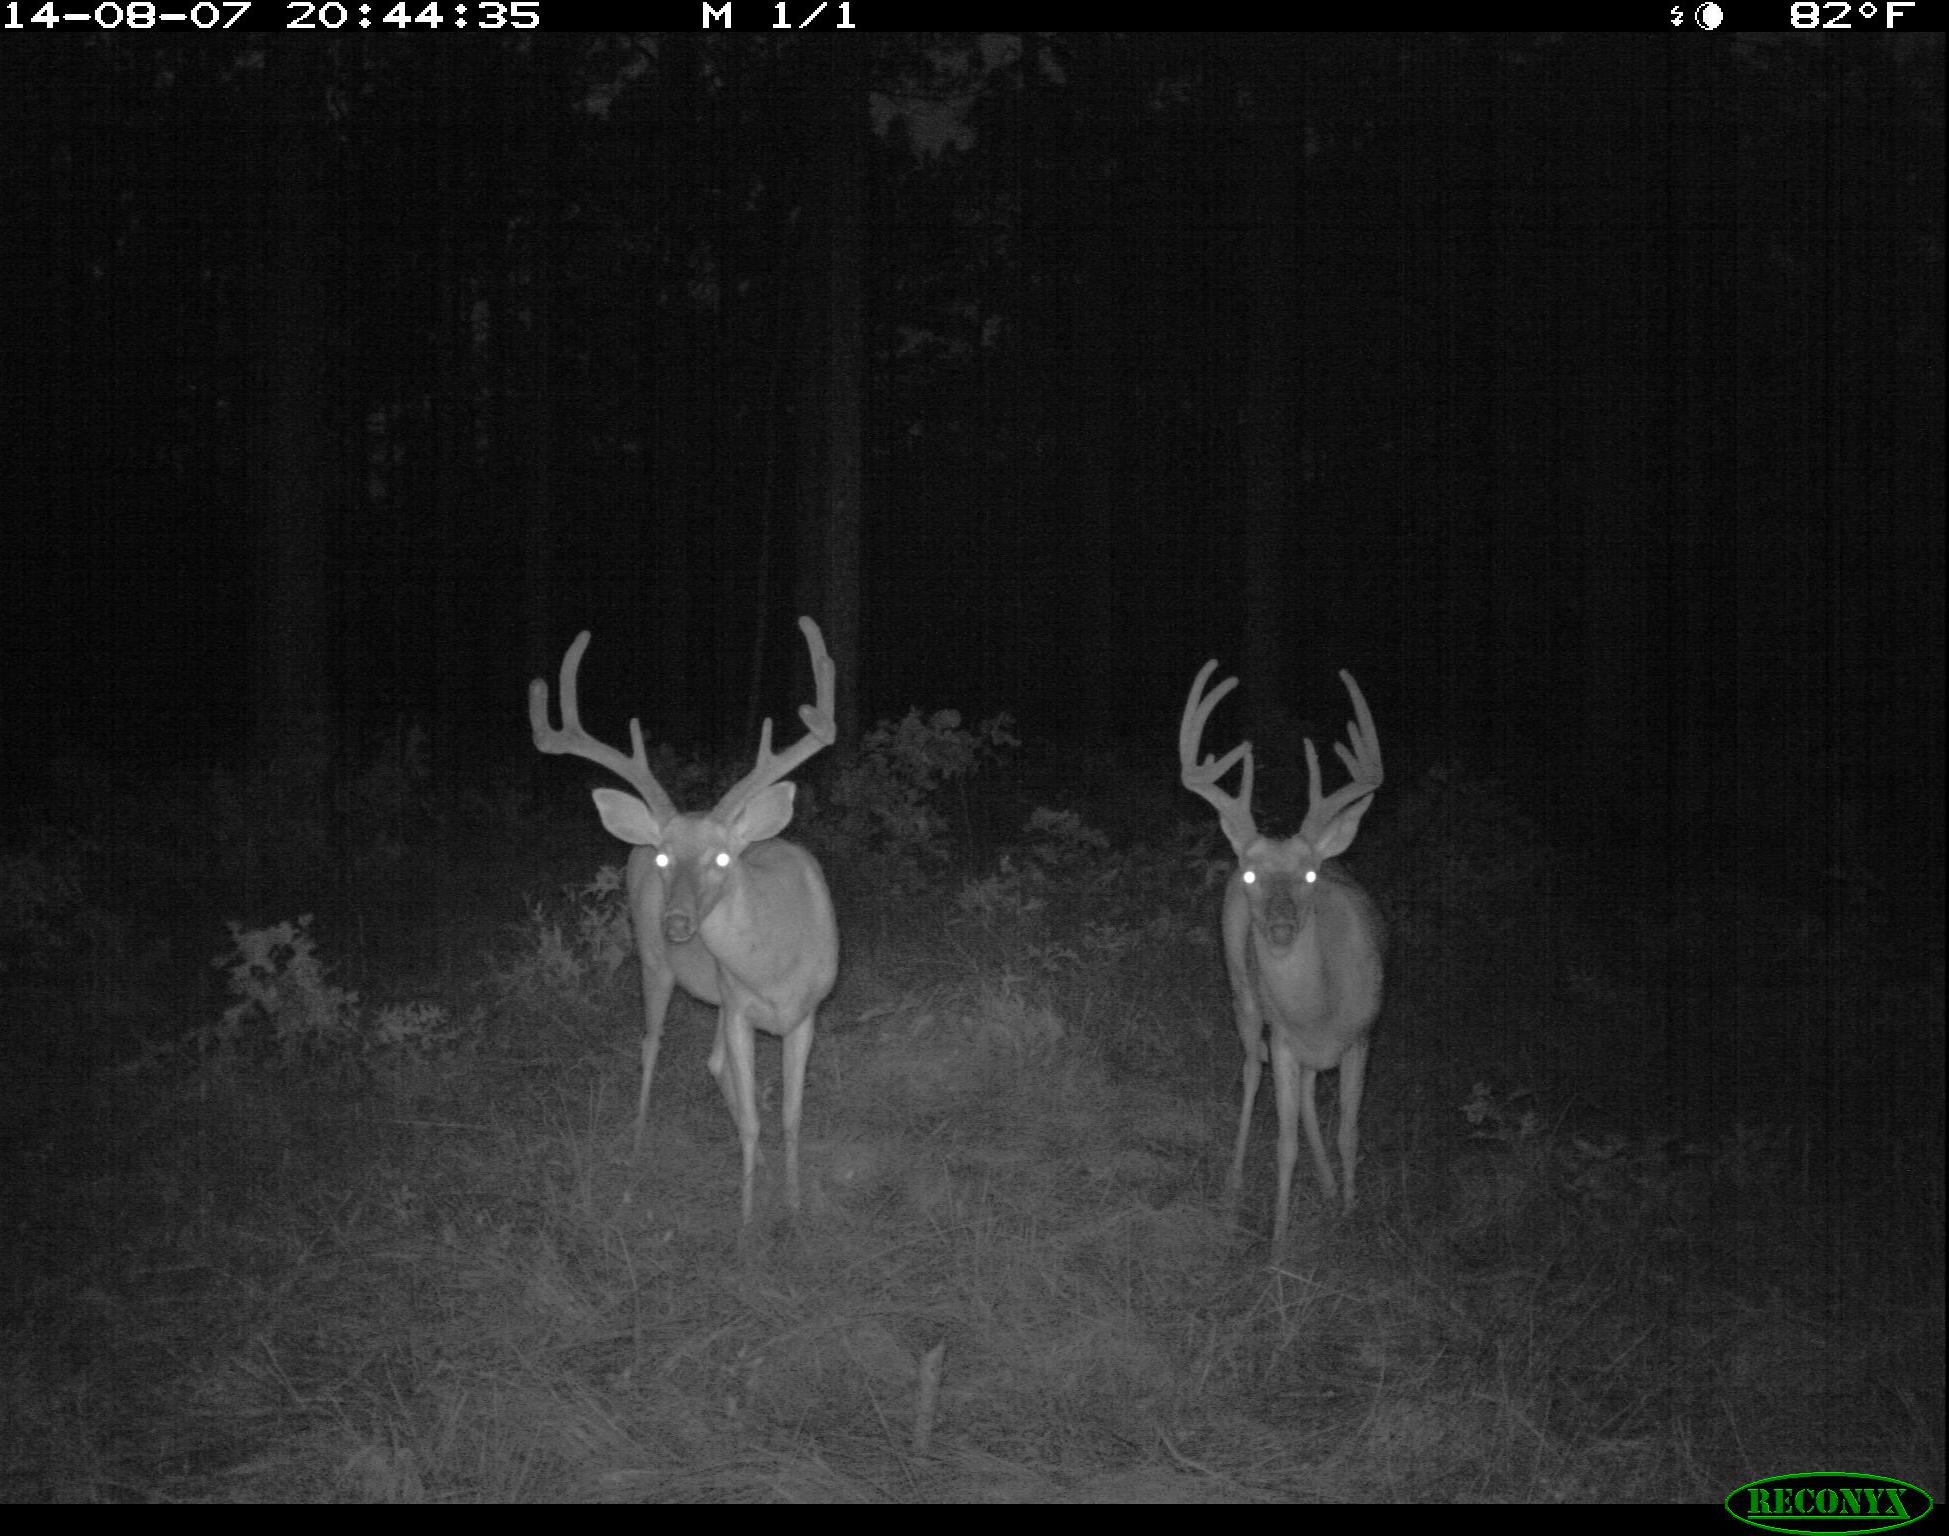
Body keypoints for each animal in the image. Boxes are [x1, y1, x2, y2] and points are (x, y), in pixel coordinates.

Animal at [530, 618, 838, 1224]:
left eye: (722, 859)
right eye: (666, 860)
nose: (676, 924)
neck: (774, 966)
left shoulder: (805, 1013)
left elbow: (790, 1116)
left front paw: (792, 1206)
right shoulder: (740, 1006)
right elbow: (753, 1120)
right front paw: (747, 1226)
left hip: (712, 992)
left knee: (713, 1062)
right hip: (655, 963)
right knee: (651, 1046)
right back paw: (633, 1166)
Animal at [1179, 658, 1385, 1247]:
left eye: (1310, 874)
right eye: (1252, 874)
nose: (1279, 925)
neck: (1320, 1008)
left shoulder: (1364, 1036)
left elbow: (1348, 1130)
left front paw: (1350, 1210)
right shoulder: (1285, 1040)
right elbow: (1285, 1145)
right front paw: (1278, 1242)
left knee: (1315, 1102)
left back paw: (1329, 1186)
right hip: (1243, 993)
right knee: (1251, 1069)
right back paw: (1233, 1181)